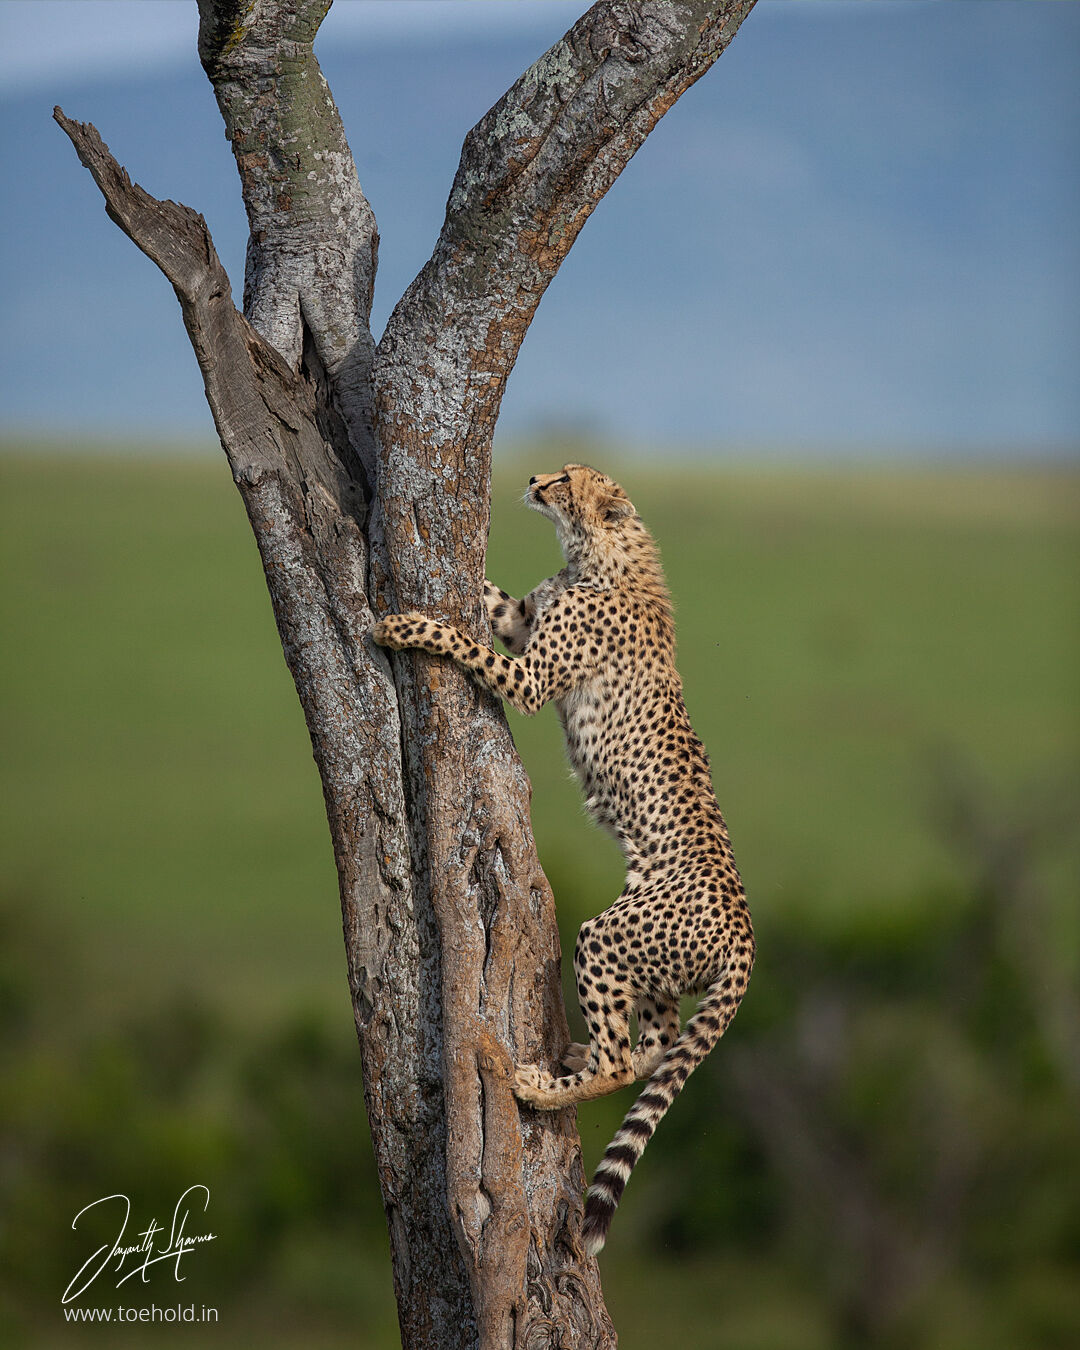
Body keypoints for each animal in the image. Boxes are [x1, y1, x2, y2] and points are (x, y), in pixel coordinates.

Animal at [372, 464, 755, 1254]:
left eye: (570, 480)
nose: (533, 479)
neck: (597, 554)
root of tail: (747, 936)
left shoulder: (528, 677)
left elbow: (464, 642)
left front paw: (402, 625)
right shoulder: (524, 617)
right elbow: (494, 600)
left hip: (610, 935)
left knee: (622, 1060)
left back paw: (541, 1086)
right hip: (654, 961)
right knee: (651, 1046)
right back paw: (576, 1058)